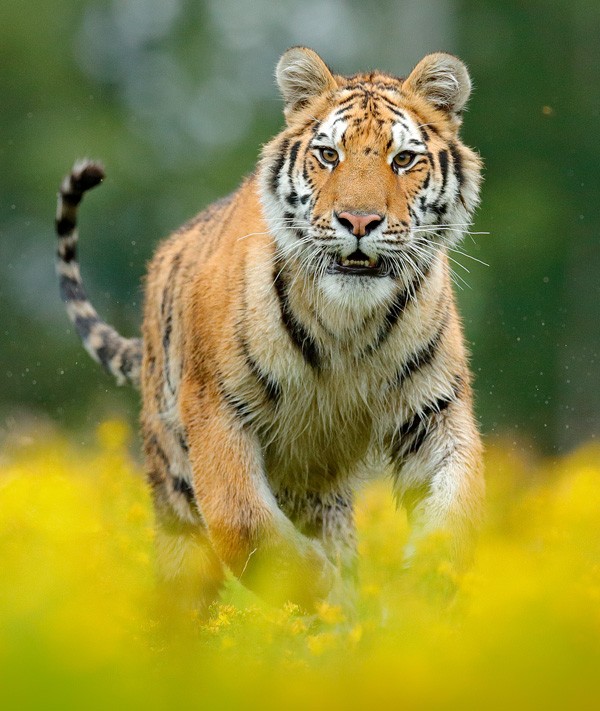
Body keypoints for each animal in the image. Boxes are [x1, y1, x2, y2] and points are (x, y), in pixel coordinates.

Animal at [55, 47, 484, 613]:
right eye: (328, 155)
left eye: (403, 160)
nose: (358, 221)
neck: (347, 322)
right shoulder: (216, 407)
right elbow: (244, 523)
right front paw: (319, 586)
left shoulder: (432, 409)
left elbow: (459, 503)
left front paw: (426, 586)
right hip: (177, 494)